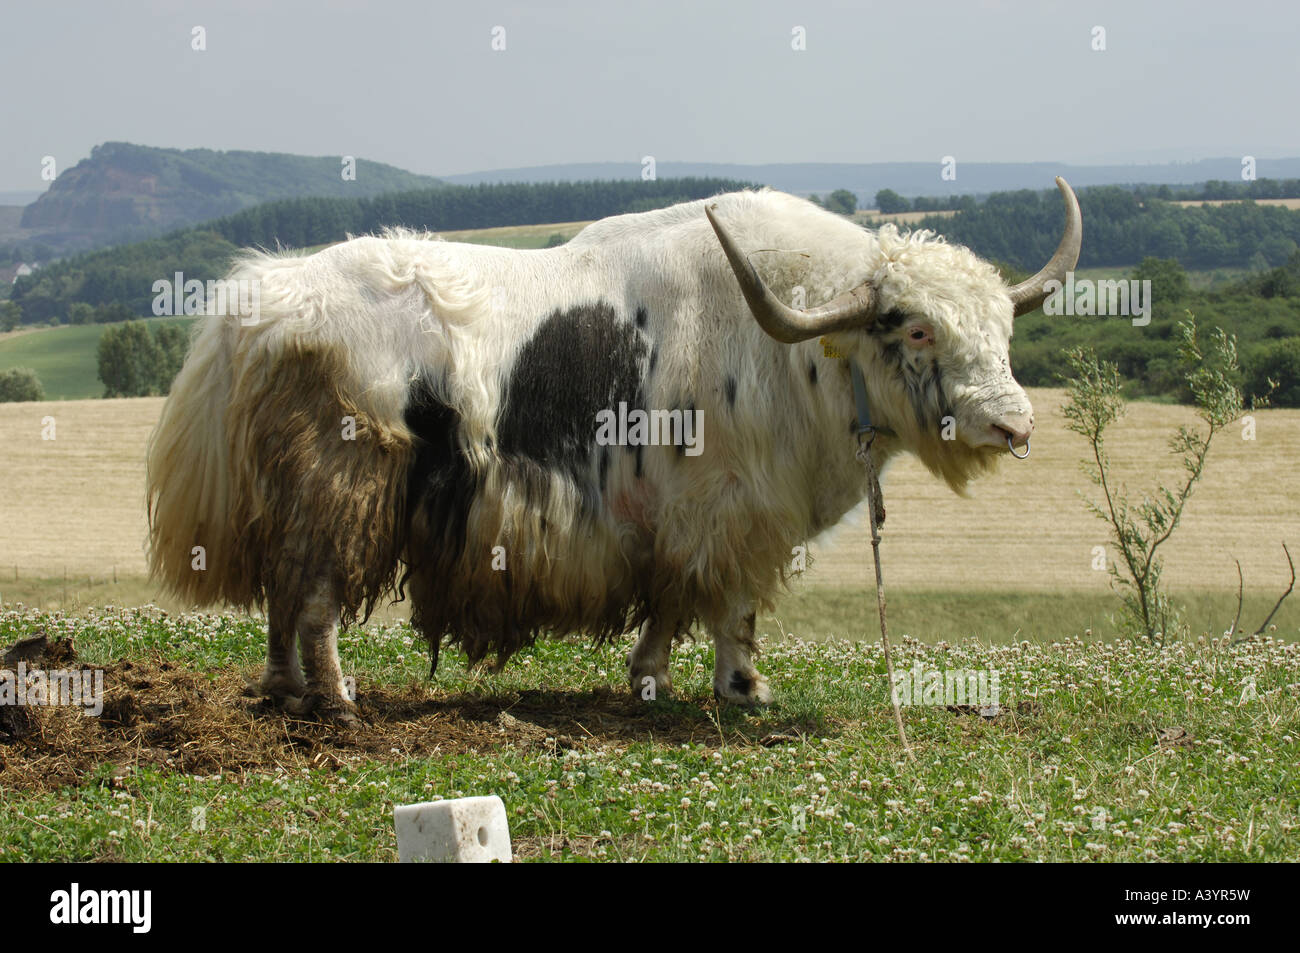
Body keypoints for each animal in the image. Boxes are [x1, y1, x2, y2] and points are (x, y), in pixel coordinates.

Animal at [146, 178, 1081, 722]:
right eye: (916, 328)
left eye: (1002, 328)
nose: (1014, 427)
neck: (801, 340)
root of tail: (254, 308)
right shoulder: (733, 508)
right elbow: (732, 605)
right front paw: (744, 689)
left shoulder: (676, 518)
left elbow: (670, 600)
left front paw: (652, 676)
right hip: (344, 479)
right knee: (312, 597)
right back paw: (337, 699)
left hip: (296, 492)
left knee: (281, 591)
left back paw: (283, 693)